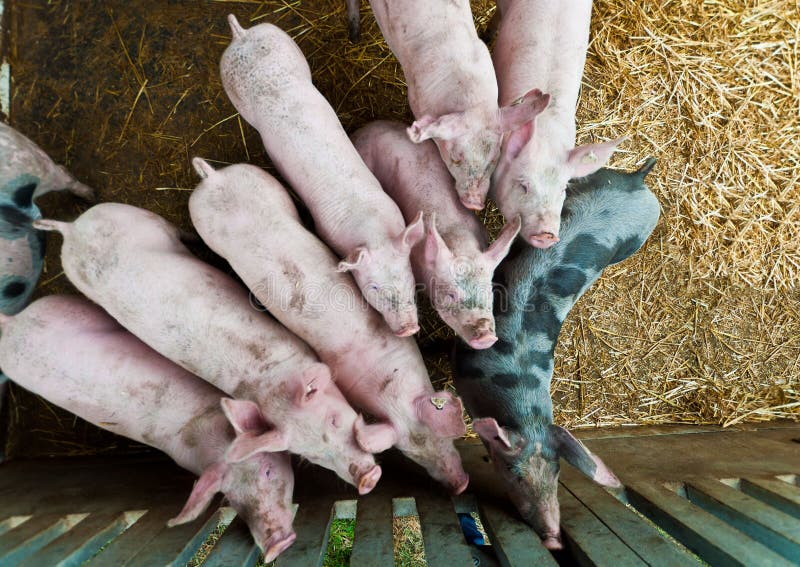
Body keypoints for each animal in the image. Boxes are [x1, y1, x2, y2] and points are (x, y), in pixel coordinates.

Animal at [33, 204, 381, 493]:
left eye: (334, 421)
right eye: (312, 456)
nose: (367, 479)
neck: (271, 382)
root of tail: (71, 229)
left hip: (132, 216)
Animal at [189, 158, 469, 494]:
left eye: (445, 439)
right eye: (412, 456)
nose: (461, 485)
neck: (385, 375)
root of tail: (213, 177)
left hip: (265, 183)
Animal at [220, 16, 424, 337]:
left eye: (408, 276)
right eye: (373, 288)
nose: (408, 329)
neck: (372, 229)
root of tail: (241, 35)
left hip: (287, 46)